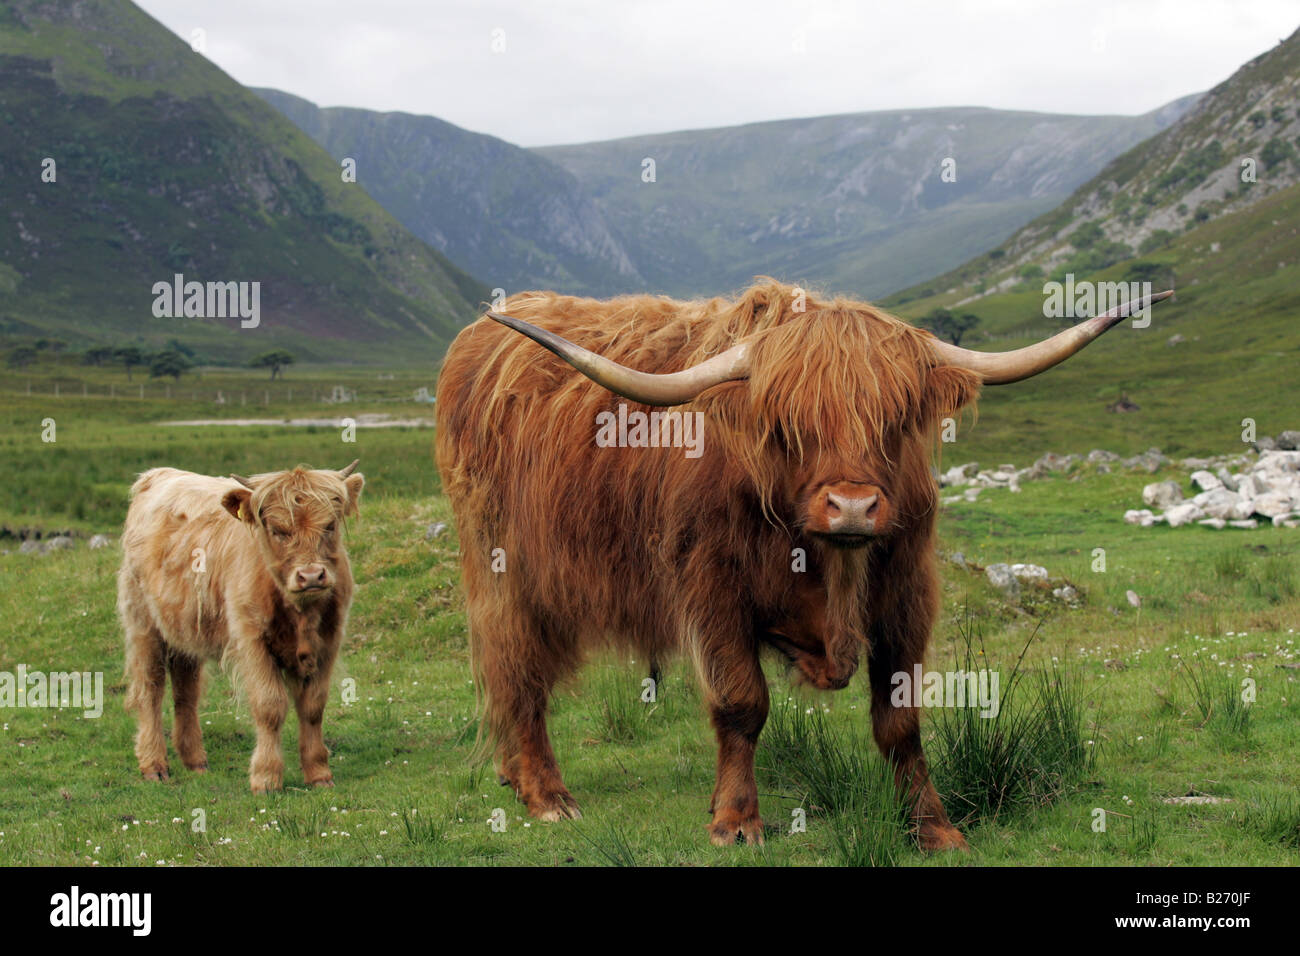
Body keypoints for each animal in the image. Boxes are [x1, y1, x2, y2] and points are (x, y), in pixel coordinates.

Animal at [118, 461, 364, 793]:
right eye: (276, 530)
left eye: (329, 525)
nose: (311, 576)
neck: (300, 612)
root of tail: (157, 473)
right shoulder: (251, 641)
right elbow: (269, 706)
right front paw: (266, 778)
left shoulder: (329, 641)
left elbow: (313, 706)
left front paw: (319, 773)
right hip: (144, 624)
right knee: (150, 689)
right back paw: (154, 765)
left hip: (184, 630)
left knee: (186, 691)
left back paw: (195, 761)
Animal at [435, 279, 1171, 848]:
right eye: (790, 424)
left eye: (895, 420)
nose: (852, 507)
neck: (829, 566)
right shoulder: (712, 588)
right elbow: (741, 703)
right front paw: (735, 821)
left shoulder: (906, 592)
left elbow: (900, 717)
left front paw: (932, 827)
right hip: (503, 570)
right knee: (516, 671)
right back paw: (546, 795)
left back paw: (514, 775)